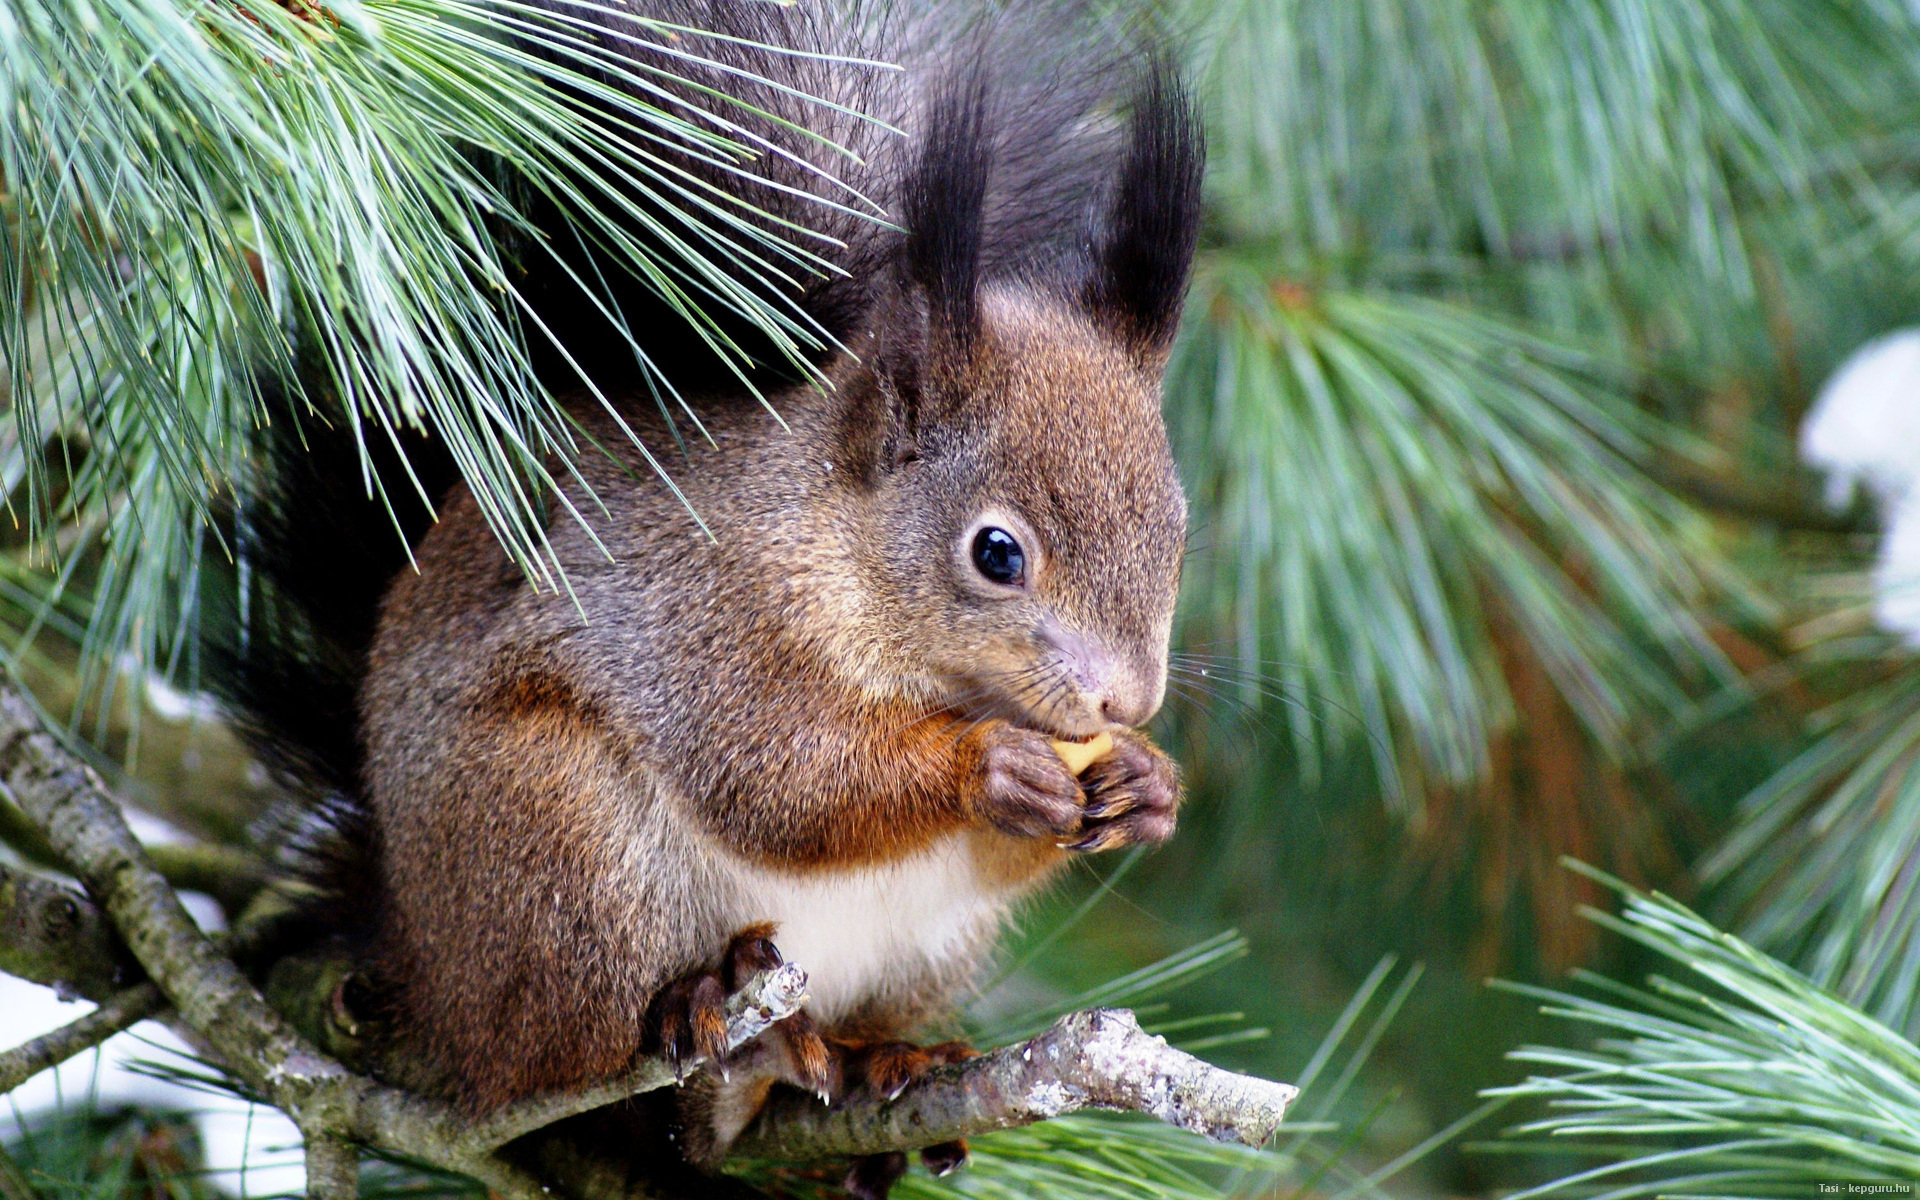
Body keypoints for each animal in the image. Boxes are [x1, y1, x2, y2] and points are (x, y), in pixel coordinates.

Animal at [212, 3, 1204, 1197]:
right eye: (997, 553)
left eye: (1178, 532)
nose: (1127, 704)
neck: (837, 547)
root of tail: (414, 953)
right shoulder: (708, 619)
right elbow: (779, 780)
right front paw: (988, 767)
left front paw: (1148, 787)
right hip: (556, 842)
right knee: (570, 1054)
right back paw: (708, 1036)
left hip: (924, 947)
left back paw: (884, 1061)